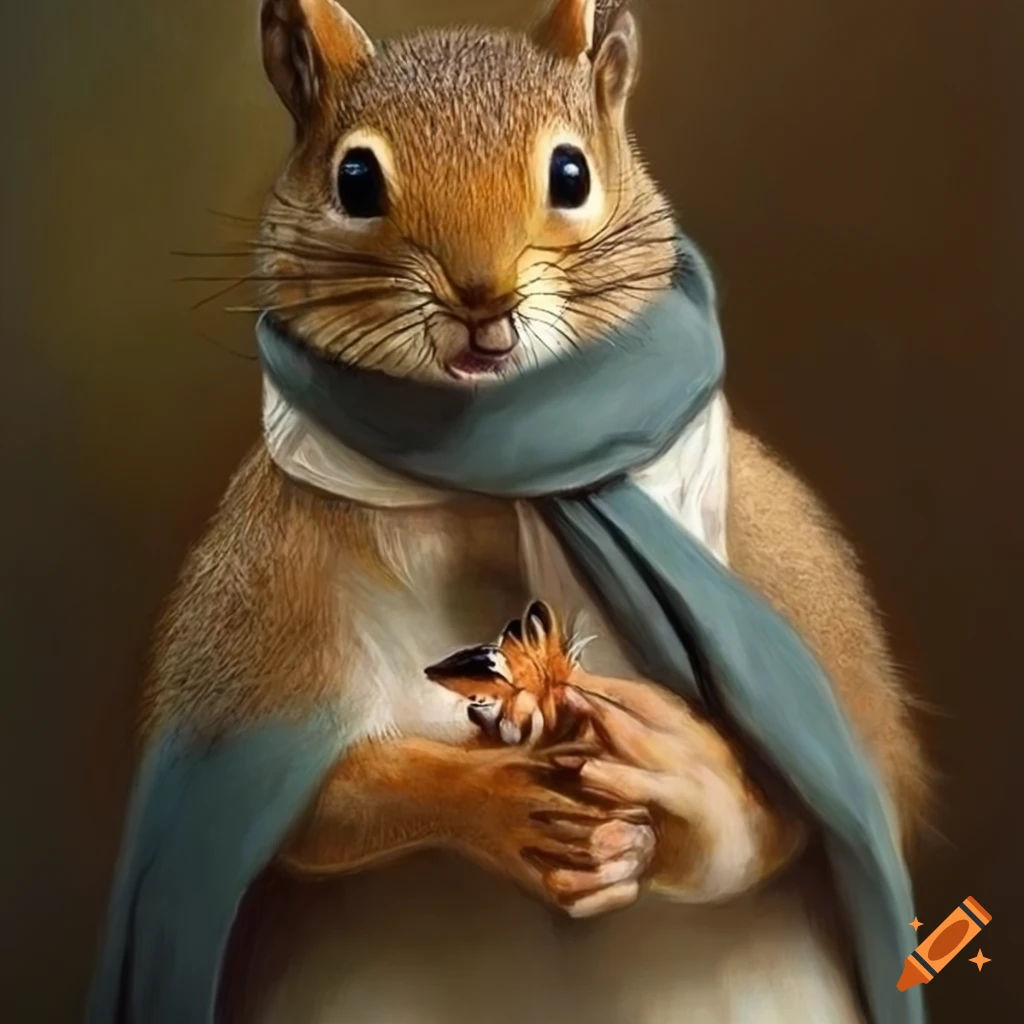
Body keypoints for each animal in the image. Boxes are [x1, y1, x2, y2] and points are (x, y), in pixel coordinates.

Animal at [136, 2, 929, 1022]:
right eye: (355, 179)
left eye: (571, 173)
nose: (483, 297)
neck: (488, 476)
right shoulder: (264, 587)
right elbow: (325, 803)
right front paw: (493, 800)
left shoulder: (779, 553)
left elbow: (844, 784)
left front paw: (685, 778)